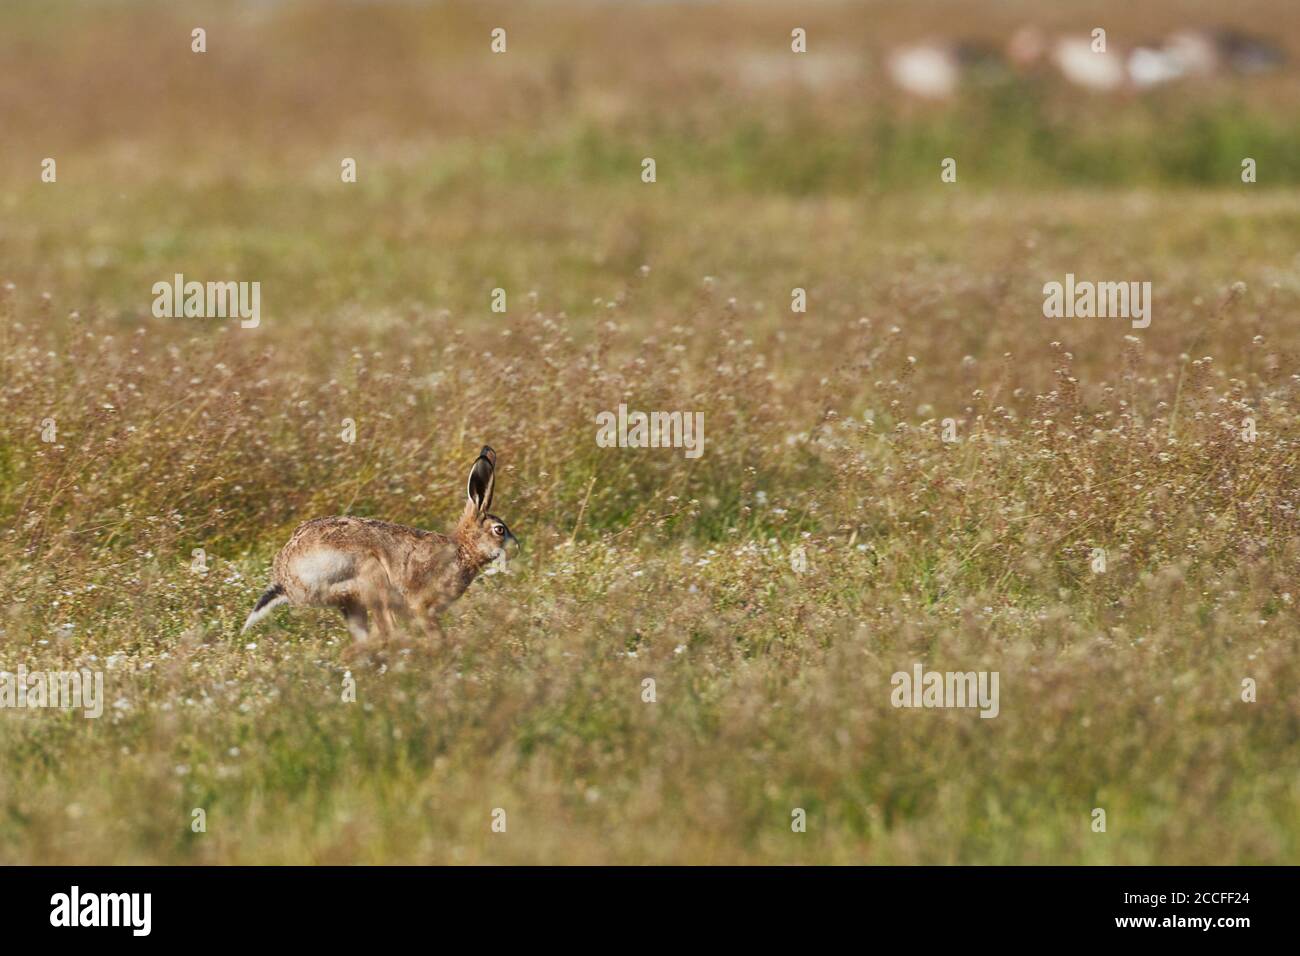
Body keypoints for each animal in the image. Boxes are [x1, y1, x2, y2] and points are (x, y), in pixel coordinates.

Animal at [242, 445, 517, 640]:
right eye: (499, 530)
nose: (517, 547)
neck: (463, 550)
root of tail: (286, 579)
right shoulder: (421, 606)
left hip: (353, 601)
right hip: (371, 576)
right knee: (389, 631)